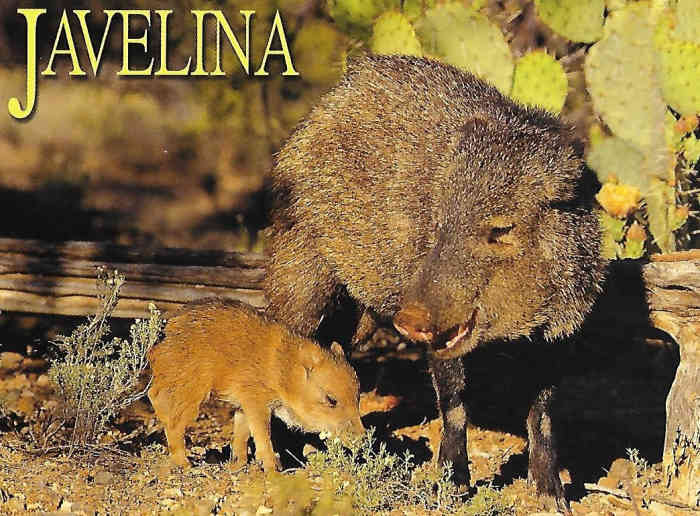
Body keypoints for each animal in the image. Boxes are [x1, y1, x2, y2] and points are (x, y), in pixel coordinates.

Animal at [148, 298, 364, 472]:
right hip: (191, 394)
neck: (282, 370)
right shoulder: (257, 403)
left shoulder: (243, 406)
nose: (362, 439)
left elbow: (241, 434)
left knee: (154, 397)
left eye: (358, 397)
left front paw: (238, 464)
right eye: (331, 400)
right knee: (173, 424)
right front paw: (272, 469)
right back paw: (185, 464)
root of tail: (156, 341)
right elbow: (262, 436)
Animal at [264, 55, 607, 513]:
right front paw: (452, 487)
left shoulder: (557, 337)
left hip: (362, 316)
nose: (409, 320)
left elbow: (544, 414)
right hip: (302, 275)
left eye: (501, 230)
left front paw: (552, 496)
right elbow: (454, 404)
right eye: (441, 222)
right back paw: (286, 457)